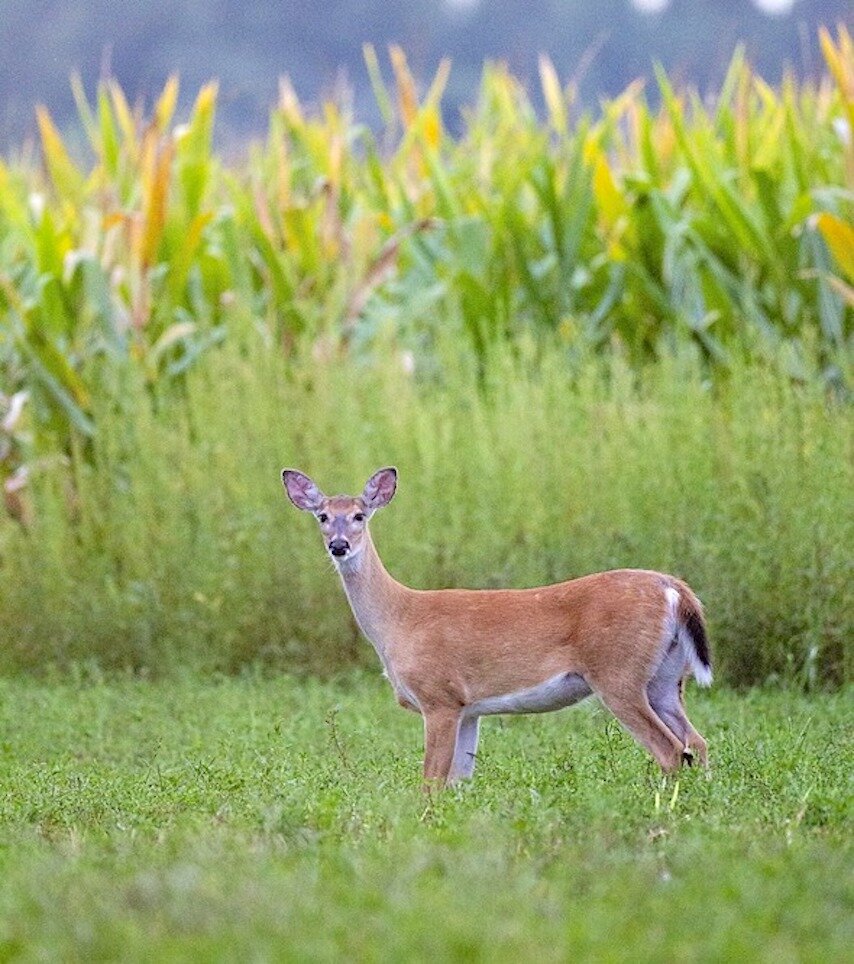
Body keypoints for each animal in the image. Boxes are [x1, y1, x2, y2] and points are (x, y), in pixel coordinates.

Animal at [282, 467, 711, 787]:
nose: (339, 545)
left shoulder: (440, 696)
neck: (398, 618)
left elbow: (431, 780)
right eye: (323, 516)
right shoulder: (469, 709)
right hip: (666, 677)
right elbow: (459, 780)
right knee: (697, 743)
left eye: (360, 515)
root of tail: (674, 589)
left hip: (617, 672)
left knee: (670, 750)